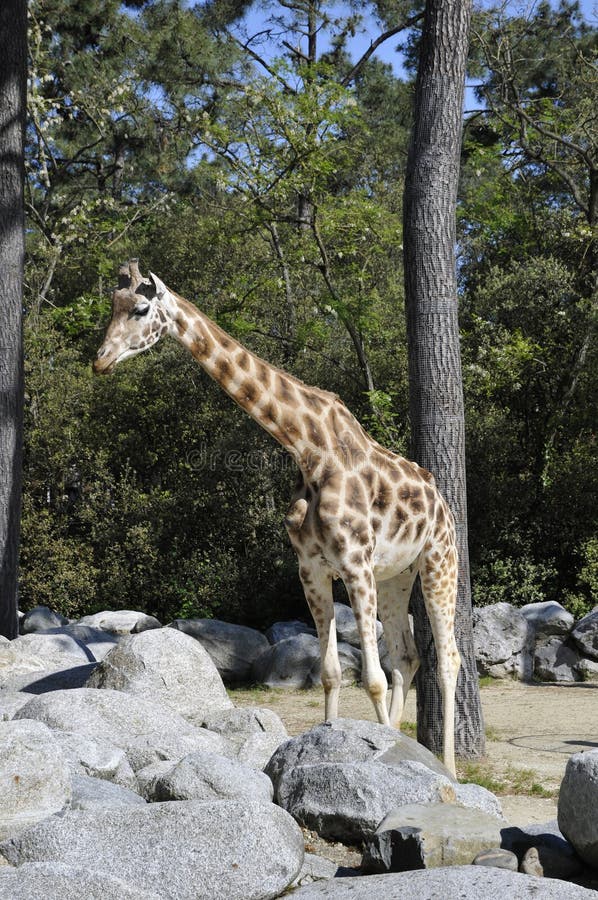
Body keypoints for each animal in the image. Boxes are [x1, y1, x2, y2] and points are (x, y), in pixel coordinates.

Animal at [93, 259, 461, 776]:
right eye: (112, 305)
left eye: (141, 309)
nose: (100, 360)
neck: (307, 449)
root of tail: (442, 502)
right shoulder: (312, 568)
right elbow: (331, 673)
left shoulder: (355, 564)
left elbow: (369, 678)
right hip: (396, 574)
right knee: (407, 658)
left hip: (438, 561)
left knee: (447, 658)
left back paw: (448, 769)